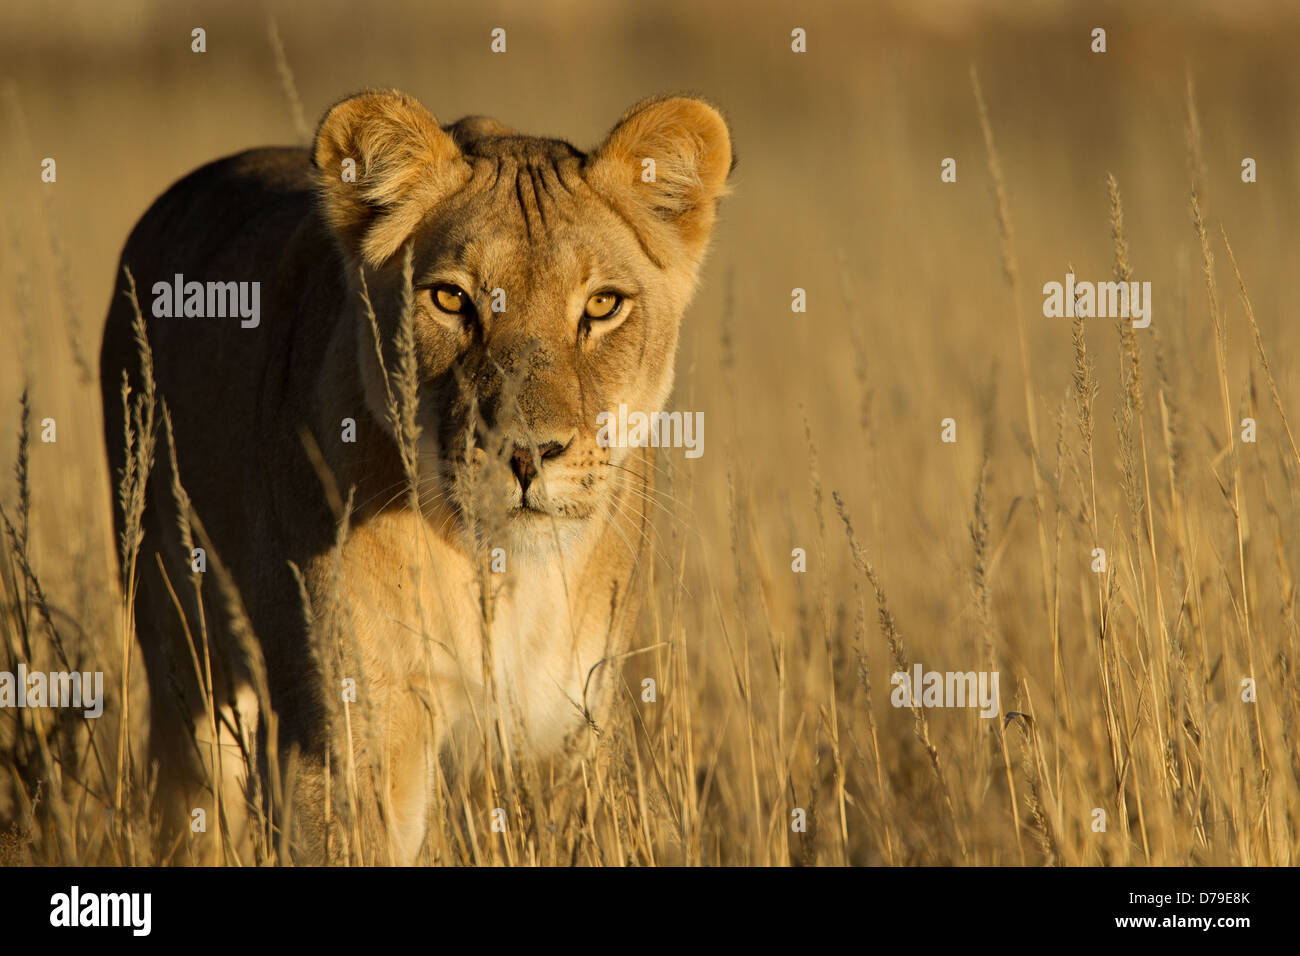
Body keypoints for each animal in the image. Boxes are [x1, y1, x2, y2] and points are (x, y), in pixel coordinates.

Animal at [98, 89, 732, 864]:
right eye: (452, 300)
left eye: (603, 305)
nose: (527, 454)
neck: (500, 571)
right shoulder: (347, 738)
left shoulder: (571, 727)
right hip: (181, 649)